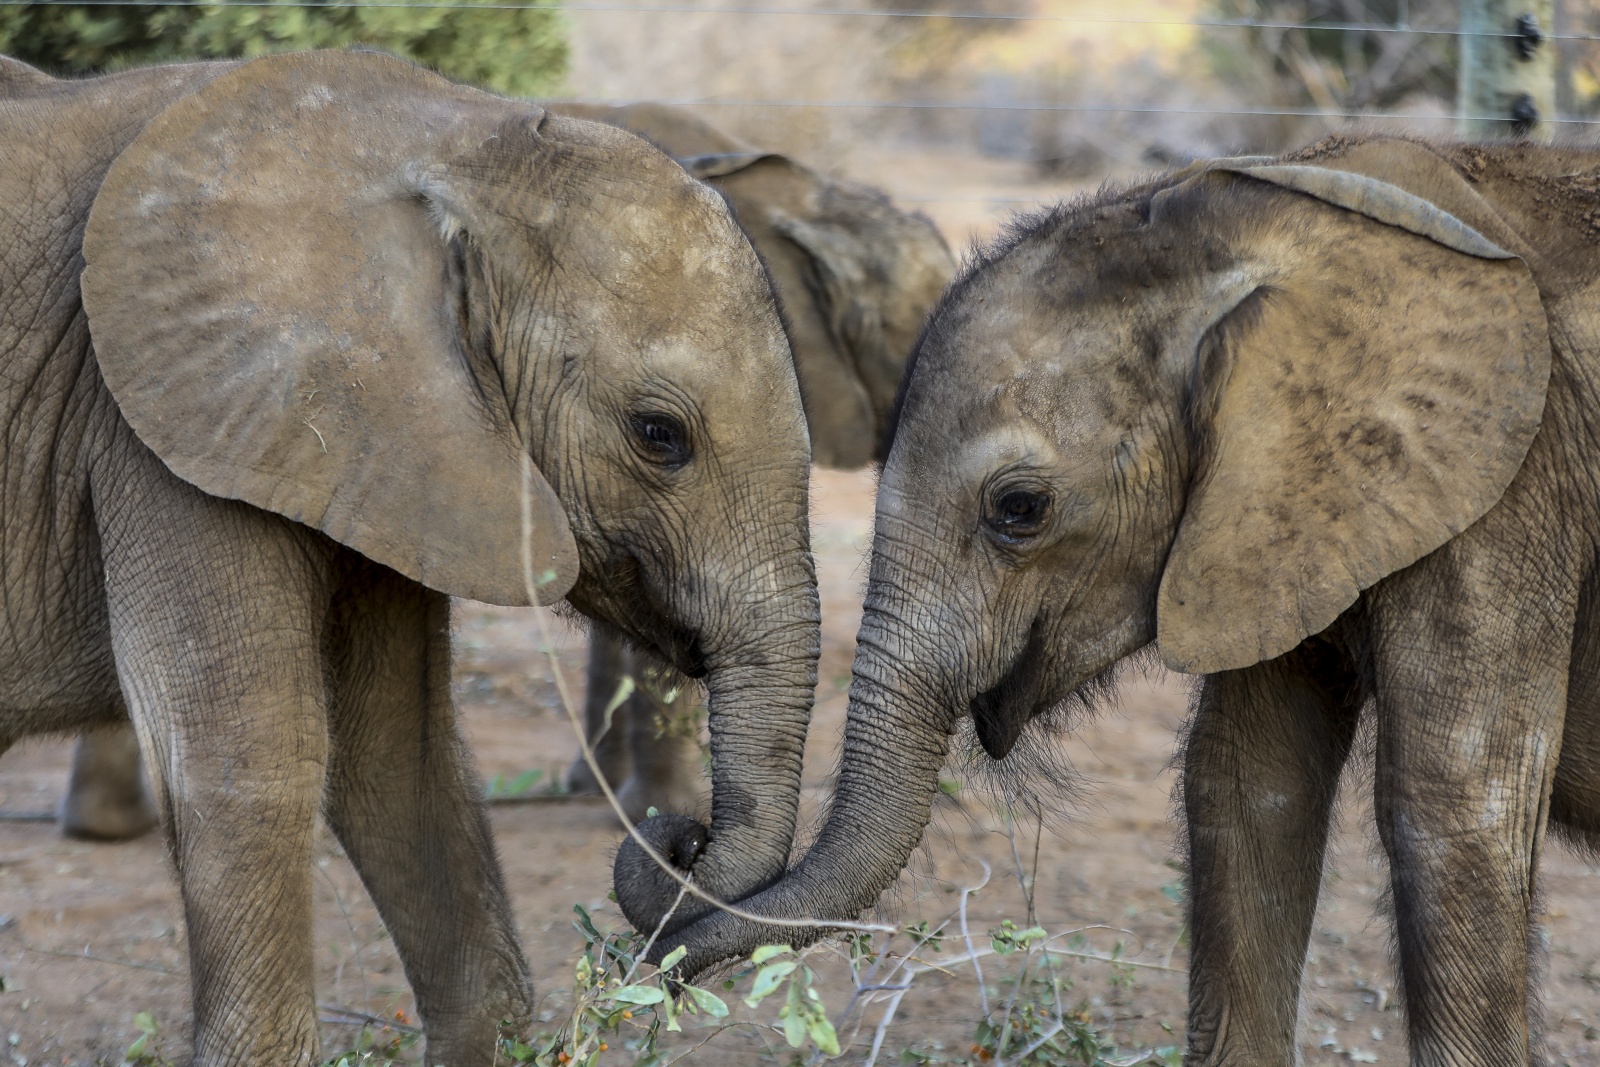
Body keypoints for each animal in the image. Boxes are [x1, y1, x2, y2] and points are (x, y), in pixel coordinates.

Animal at [2, 48, 821, 1065]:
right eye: (659, 436)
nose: (683, 836)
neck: (450, 138)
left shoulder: (379, 448)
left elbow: (397, 754)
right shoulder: (160, 425)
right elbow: (254, 758)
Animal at [620, 136, 1600, 1065]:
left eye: (1019, 508)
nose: (680, 836)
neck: (1254, 212)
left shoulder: (1515, 484)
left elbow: (1449, 807)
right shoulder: (1276, 516)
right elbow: (1248, 784)